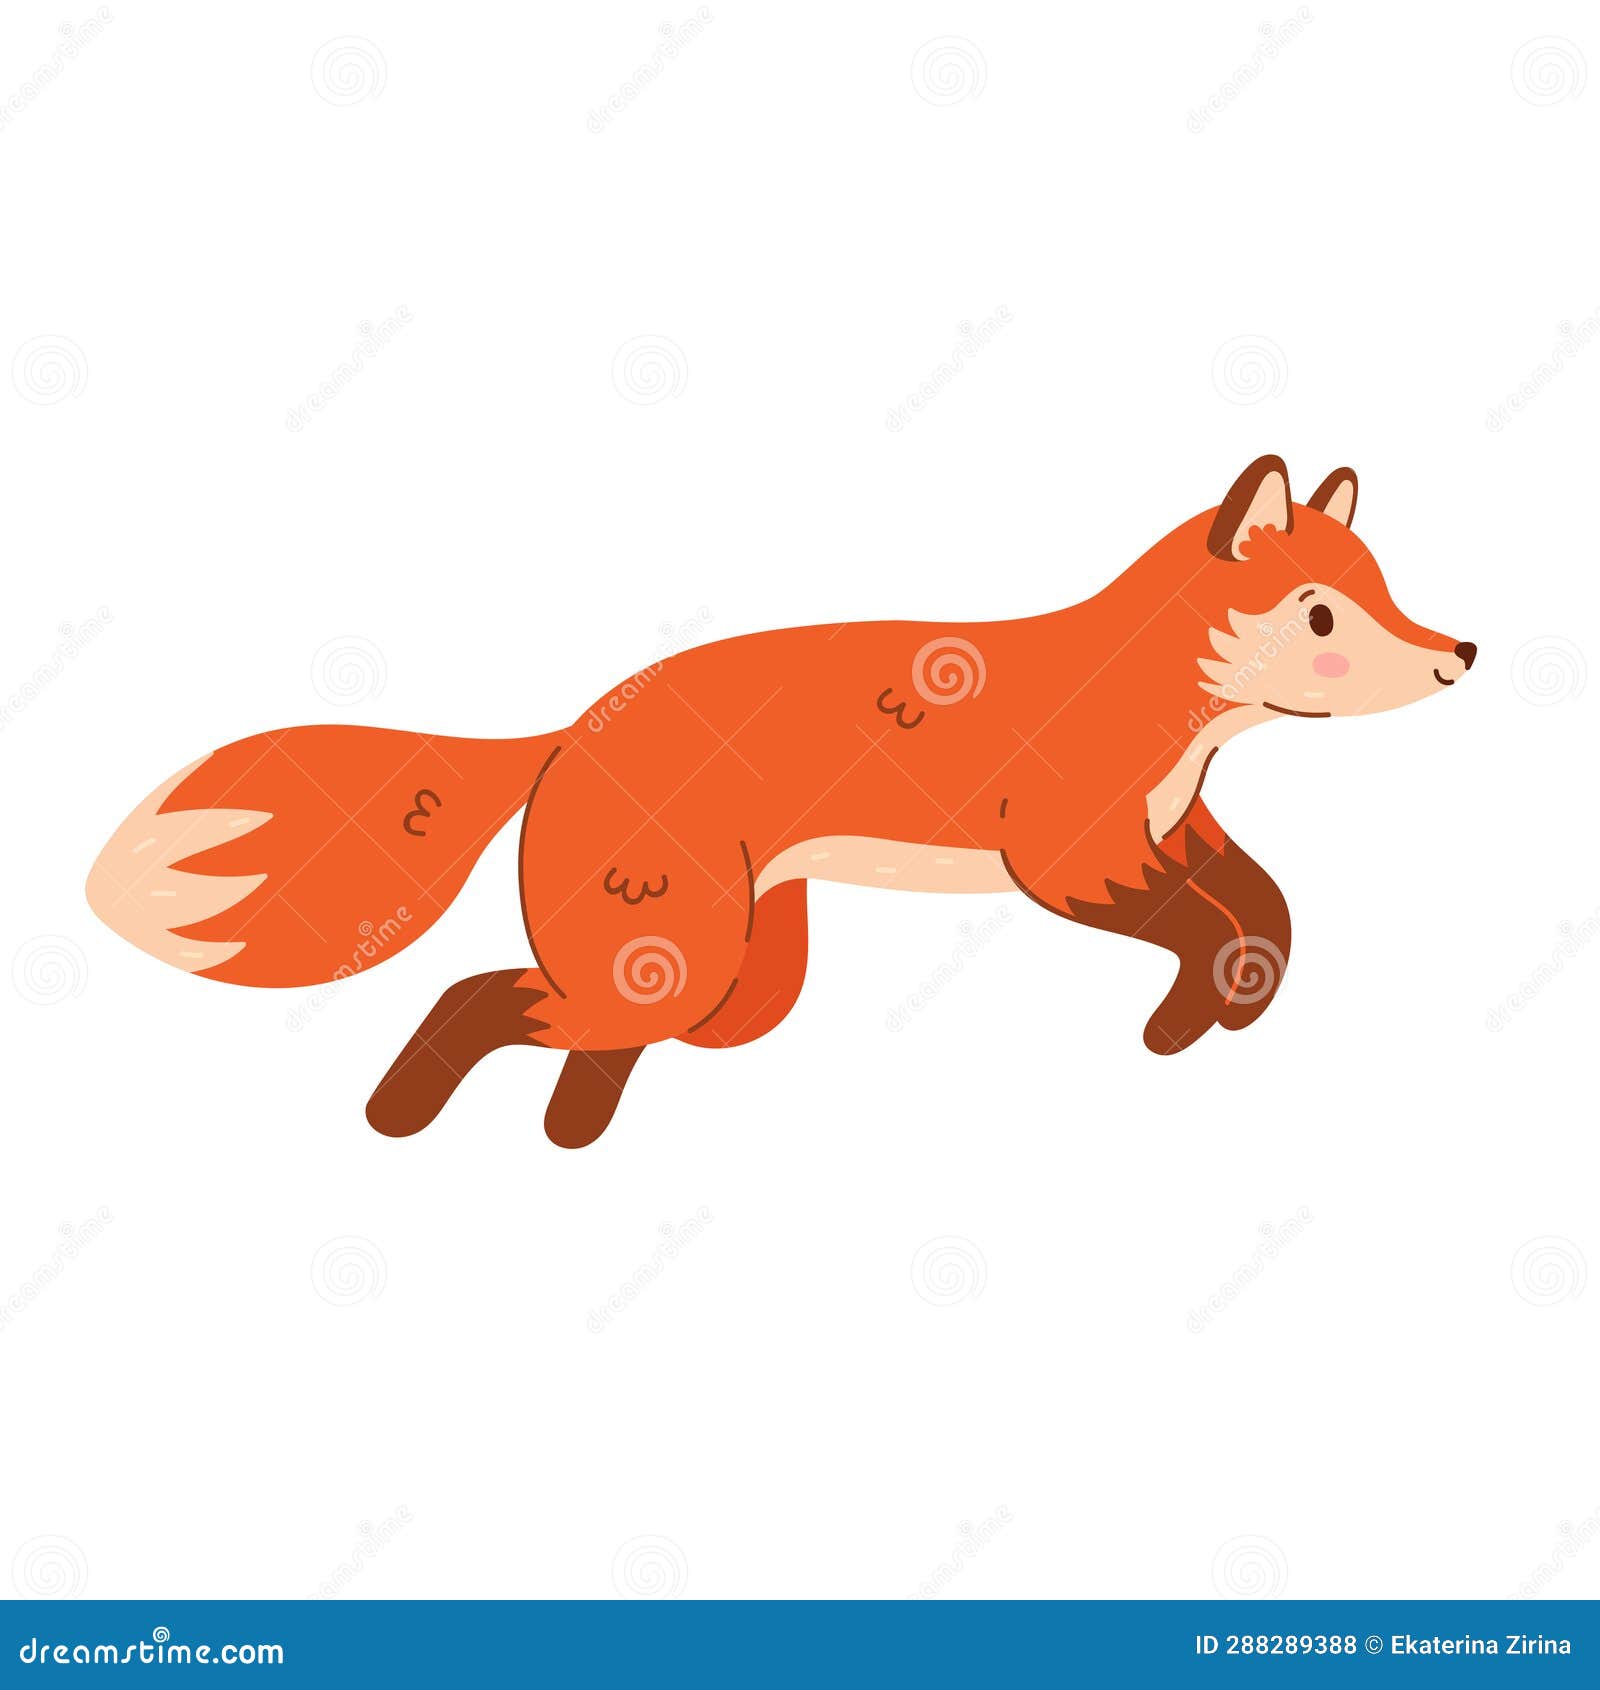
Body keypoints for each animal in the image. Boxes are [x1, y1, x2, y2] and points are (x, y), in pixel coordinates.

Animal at [87, 455, 1473, 1147]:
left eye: (1382, 588)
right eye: (1322, 616)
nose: (1458, 653)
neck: (1154, 709)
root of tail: (568, 730)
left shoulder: (1170, 833)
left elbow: (1265, 914)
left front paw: (1219, 1014)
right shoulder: (1072, 859)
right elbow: (1213, 929)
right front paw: (1191, 1020)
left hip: (735, 978)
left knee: (581, 1034)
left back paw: (570, 1134)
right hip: (679, 957)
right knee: (486, 996)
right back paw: (397, 1118)